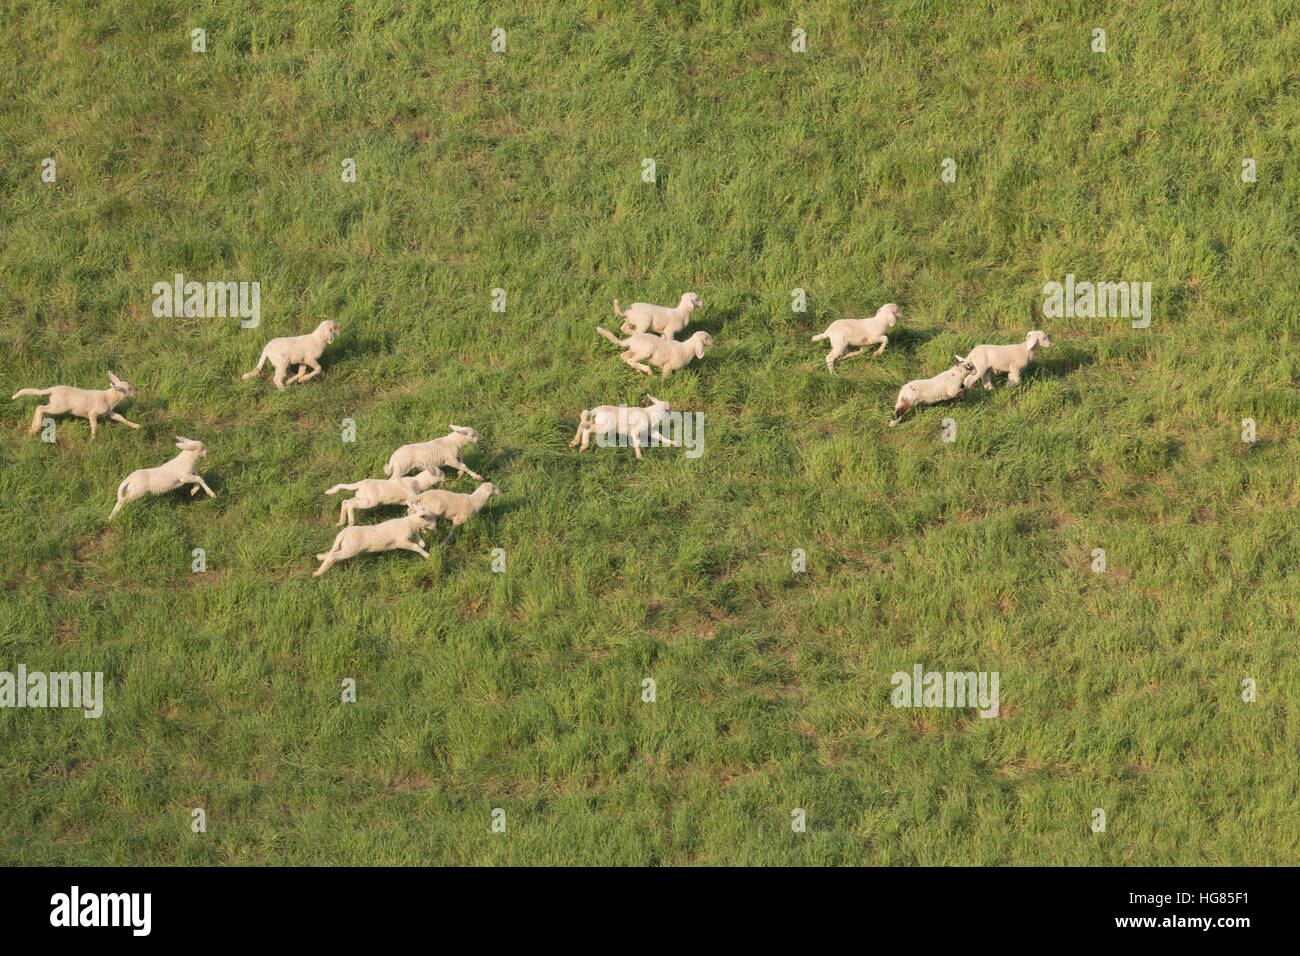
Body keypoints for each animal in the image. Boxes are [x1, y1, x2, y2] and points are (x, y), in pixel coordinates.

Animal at [11, 371, 141, 438]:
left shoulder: (109, 413)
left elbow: (120, 417)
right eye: (128, 389)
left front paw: (136, 426)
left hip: (55, 403)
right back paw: (35, 428)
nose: (135, 393)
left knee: (39, 408)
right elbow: (94, 425)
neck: (109, 398)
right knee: (40, 408)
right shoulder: (93, 413)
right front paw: (93, 439)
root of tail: (53, 390)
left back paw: (32, 428)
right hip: (59, 406)